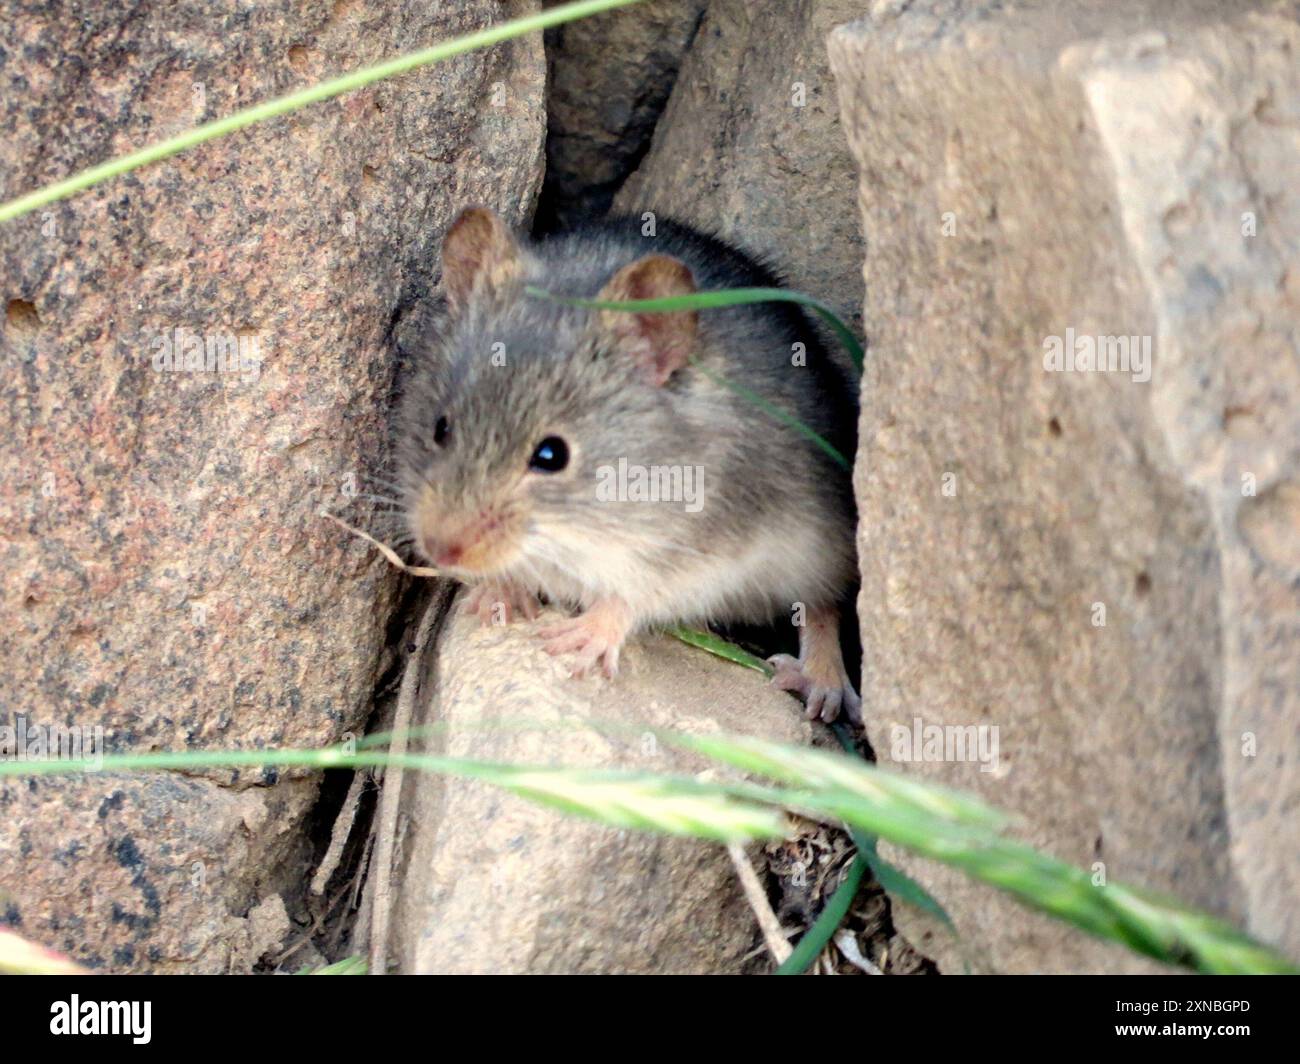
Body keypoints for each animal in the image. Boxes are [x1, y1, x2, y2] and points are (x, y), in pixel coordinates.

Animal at [395, 207, 862, 724]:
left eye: (551, 455)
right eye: (440, 428)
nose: (441, 550)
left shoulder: (695, 553)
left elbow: (630, 597)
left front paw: (581, 637)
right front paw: (497, 596)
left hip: (821, 543)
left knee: (824, 604)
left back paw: (820, 683)